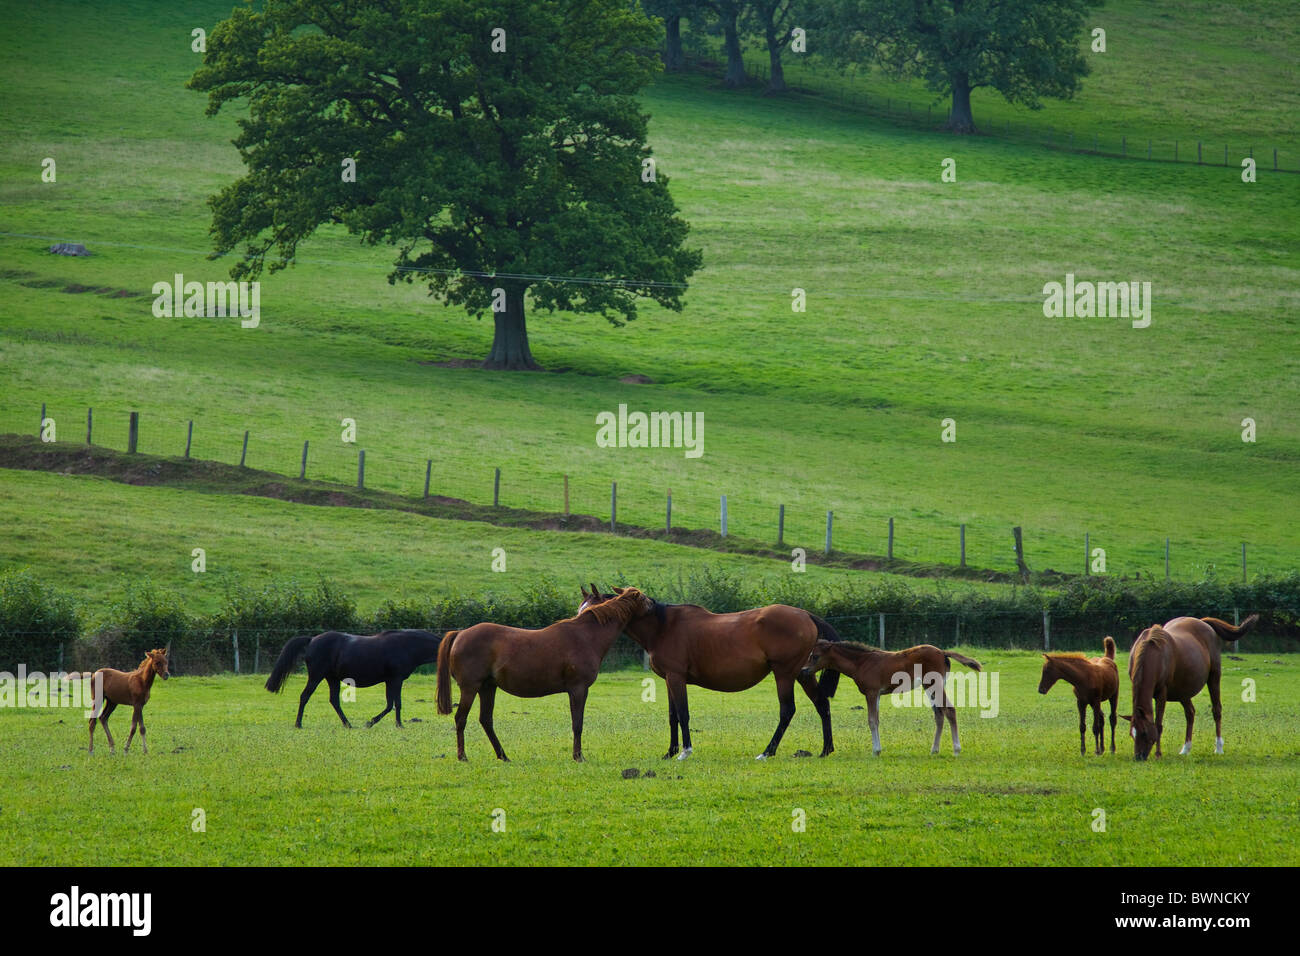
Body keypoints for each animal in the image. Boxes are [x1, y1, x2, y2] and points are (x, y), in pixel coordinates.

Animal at [265, 629, 442, 728]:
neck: (408, 645)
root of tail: (312, 640)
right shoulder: (395, 679)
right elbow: (394, 704)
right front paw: (389, 724)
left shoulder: (391, 681)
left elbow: (391, 704)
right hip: (316, 676)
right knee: (305, 696)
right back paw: (298, 724)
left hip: (332, 678)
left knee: (334, 701)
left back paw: (348, 724)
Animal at [436, 586, 655, 761]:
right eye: (644, 598)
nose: (654, 604)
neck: (586, 635)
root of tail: (460, 633)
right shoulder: (578, 689)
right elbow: (577, 724)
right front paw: (578, 756)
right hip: (470, 688)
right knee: (461, 719)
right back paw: (463, 756)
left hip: (488, 687)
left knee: (486, 720)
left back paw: (503, 755)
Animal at [578, 584, 842, 760]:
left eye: (590, 611)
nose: (576, 627)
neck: (662, 627)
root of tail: (806, 615)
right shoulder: (669, 680)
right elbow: (672, 716)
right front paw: (670, 752)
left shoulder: (677, 678)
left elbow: (683, 714)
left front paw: (685, 752)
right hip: (802, 674)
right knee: (822, 704)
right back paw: (826, 749)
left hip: (784, 674)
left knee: (787, 710)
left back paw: (767, 752)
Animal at [800, 639, 981, 755]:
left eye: (815, 656)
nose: (803, 670)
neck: (862, 662)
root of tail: (942, 652)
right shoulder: (878, 695)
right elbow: (877, 720)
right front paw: (878, 749)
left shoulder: (871, 692)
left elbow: (872, 721)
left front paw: (876, 751)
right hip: (929, 687)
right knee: (939, 714)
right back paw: (934, 750)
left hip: (935, 684)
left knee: (949, 710)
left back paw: (956, 750)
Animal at [1122, 614, 1257, 760]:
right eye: (1132, 734)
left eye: (1144, 733)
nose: (1139, 757)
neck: (1153, 654)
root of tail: (1202, 622)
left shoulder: (1161, 693)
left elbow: (1158, 725)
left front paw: (1158, 754)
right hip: (1183, 691)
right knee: (1190, 713)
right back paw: (1186, 748)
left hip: (1214, 677)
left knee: (1216, 710)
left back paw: (1219, 747)